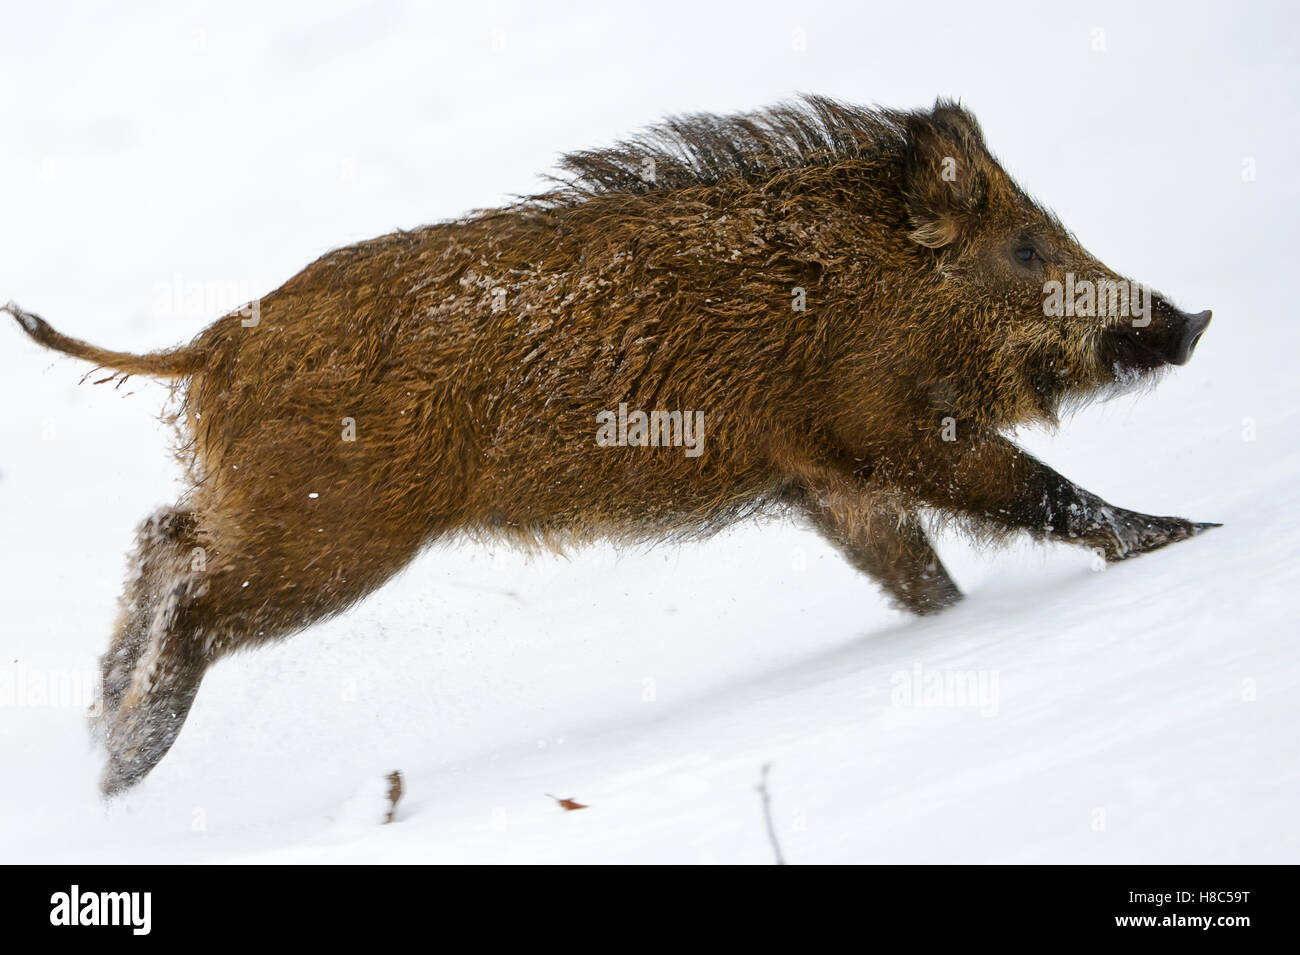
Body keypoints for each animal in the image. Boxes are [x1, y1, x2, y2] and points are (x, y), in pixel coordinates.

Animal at [5, 96, 1217, 794]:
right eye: (1026, 247)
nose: (1192, 320)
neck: (864, 285)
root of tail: (211, 344)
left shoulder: (826, 478)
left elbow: (919, 578)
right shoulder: (888, 430)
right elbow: (1034, 490)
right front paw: (1197, 532)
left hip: (280, 512)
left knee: (162, 535)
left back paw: (98, 746)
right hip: (334, 532)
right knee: (195, 592)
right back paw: (121, 771)